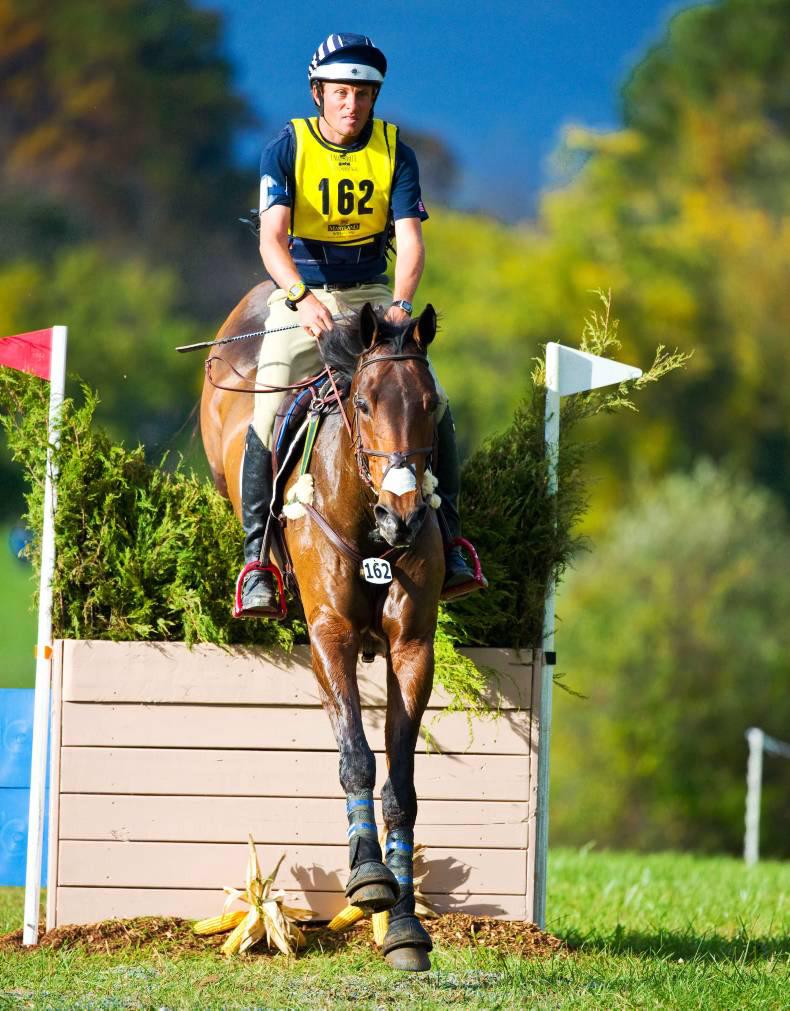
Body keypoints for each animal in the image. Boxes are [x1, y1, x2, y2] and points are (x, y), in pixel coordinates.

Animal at [200, 282, 445, 971]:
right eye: (362, 403)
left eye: (431, 406)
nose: (404, 518)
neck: (370, 526)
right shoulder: (329, 635)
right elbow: (356, 756)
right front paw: (368, 877)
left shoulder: (413, 648)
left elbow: (402, 782)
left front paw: (404, 926)